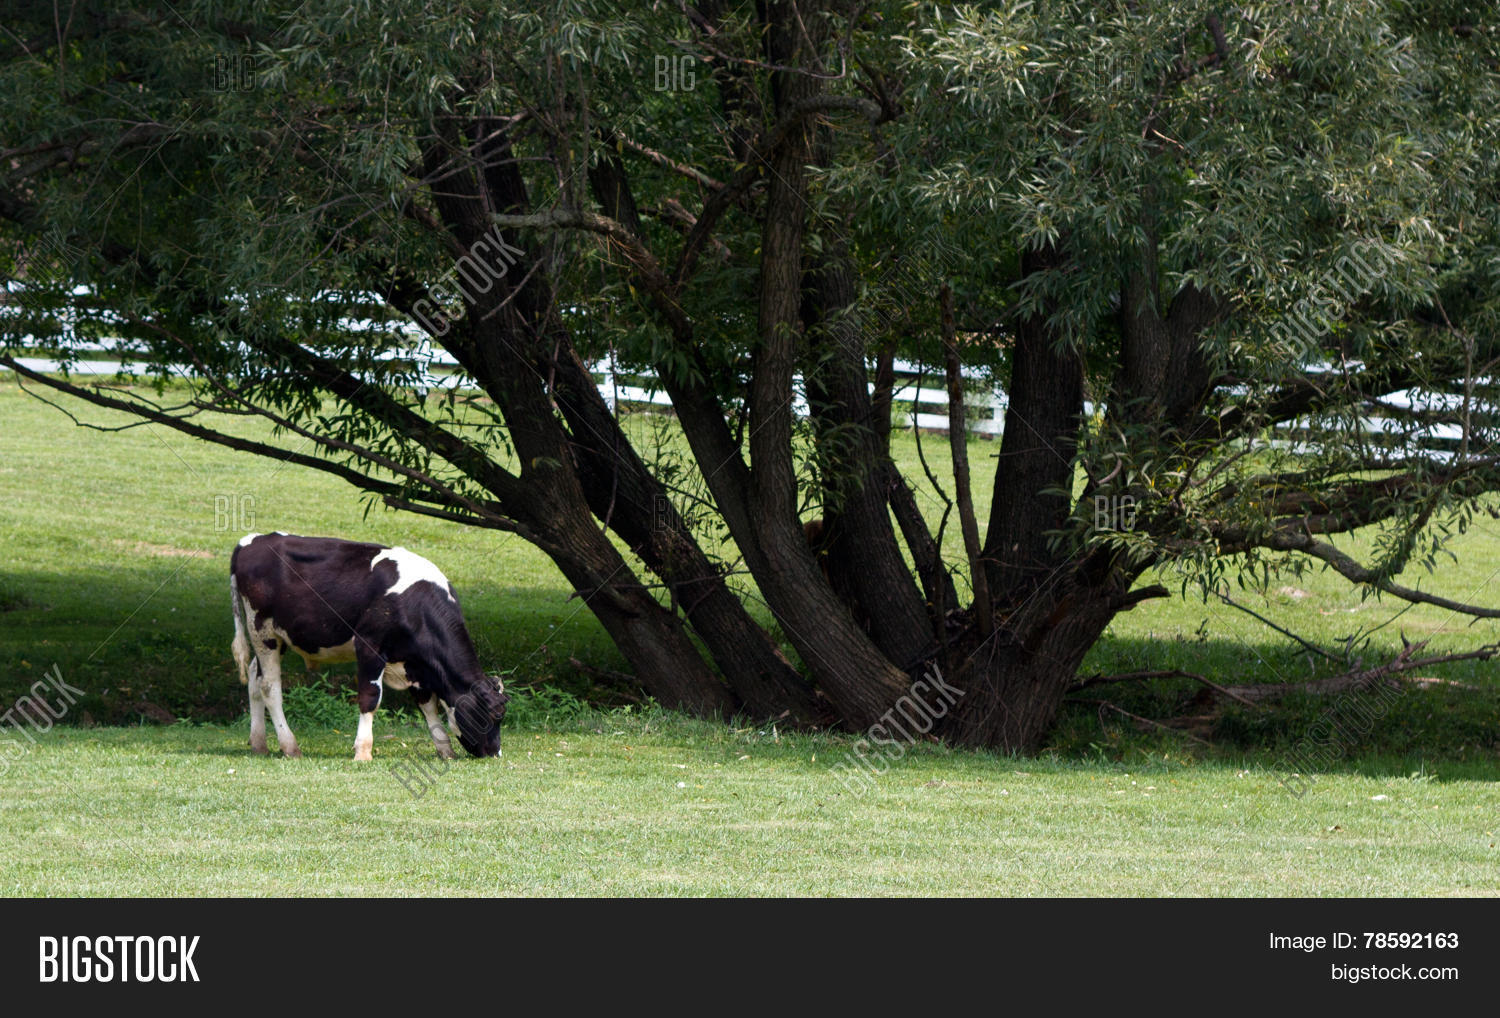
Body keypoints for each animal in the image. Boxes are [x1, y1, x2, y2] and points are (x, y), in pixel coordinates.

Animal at [229, 532, 508, 761]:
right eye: (496, 714)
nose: (495, 752)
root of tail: (253, 540)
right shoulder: (369, 647)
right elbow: (370, 698)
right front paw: (362, 751)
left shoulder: (415, 663)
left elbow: (428, 705)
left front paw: (445, 749)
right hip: (262, 631)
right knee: (269, 687)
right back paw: (289, 746)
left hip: (277, 637)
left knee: (254, 678)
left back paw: (259, 744)